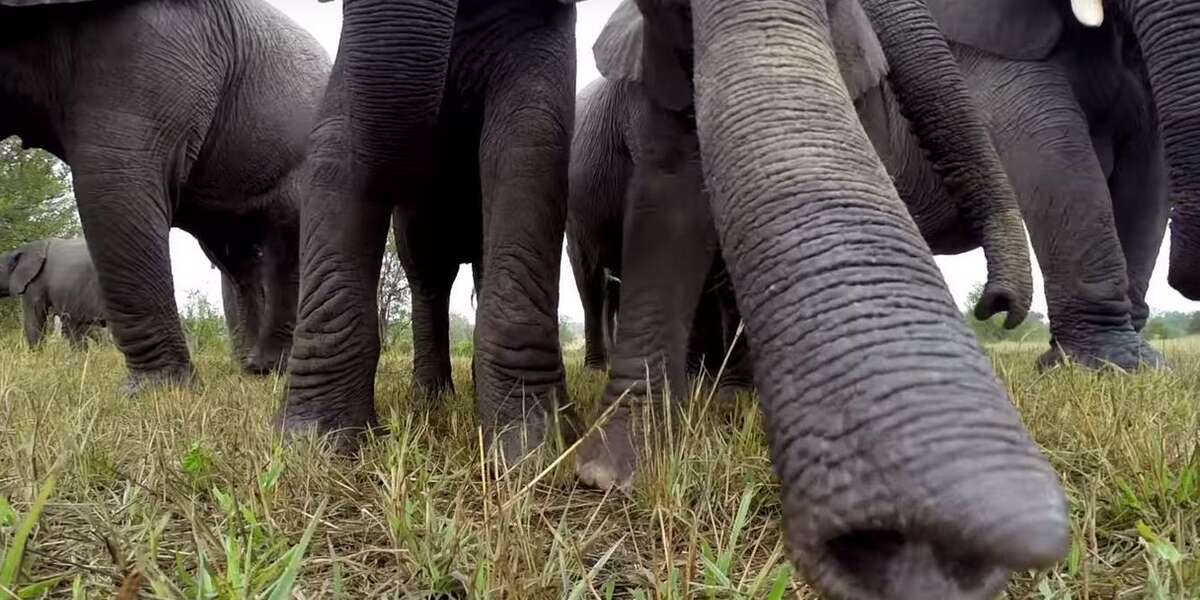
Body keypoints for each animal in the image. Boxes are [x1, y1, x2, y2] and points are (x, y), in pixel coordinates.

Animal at [0, 0, 329, 389]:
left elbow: (118, 175)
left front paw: (158, 391)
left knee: (284, 240)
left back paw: (267, 370)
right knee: (238, 263)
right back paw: (250, 370)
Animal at [280, 0, 581, 460]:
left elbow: (528, 144)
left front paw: (536, 449)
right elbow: (333, 149)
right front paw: (311, 444)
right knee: (428, 273)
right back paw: (431, 399)